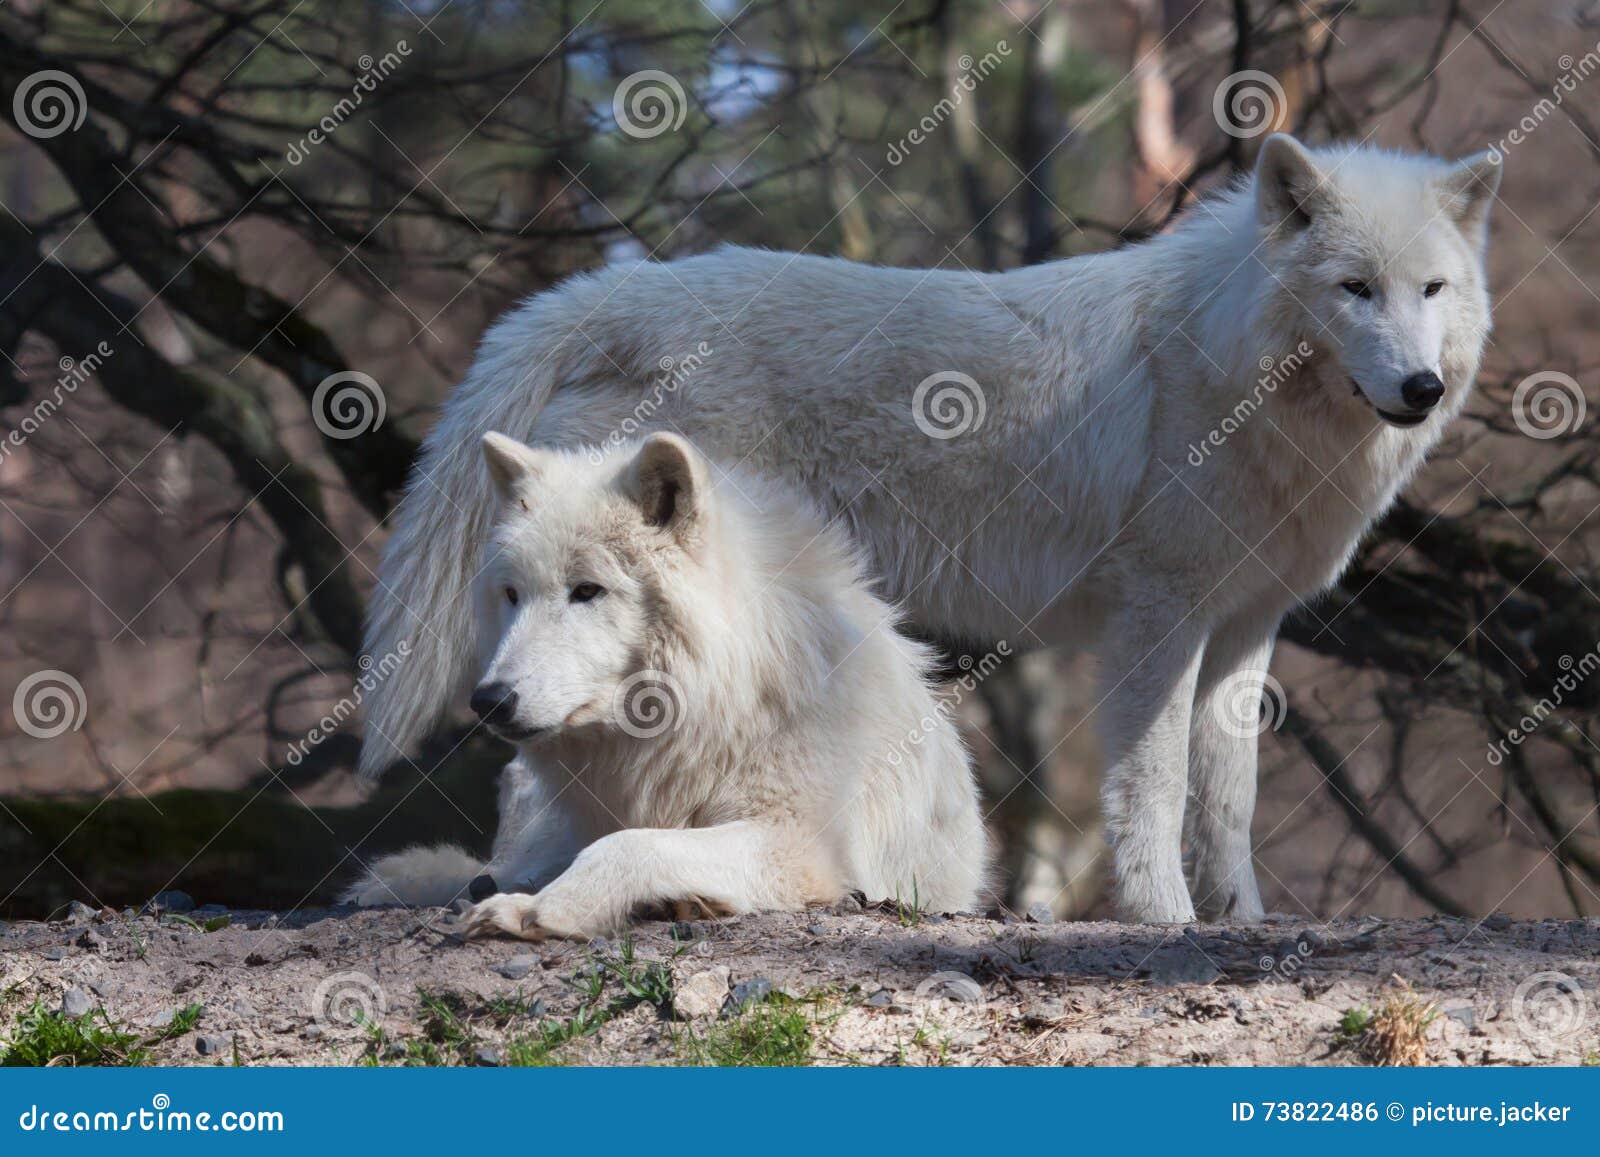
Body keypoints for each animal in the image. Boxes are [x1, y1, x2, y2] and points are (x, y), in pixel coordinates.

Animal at [343, 431, 990, 937]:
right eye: (512, 595)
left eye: (587, 590)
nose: (489, 701)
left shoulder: (799, 845)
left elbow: (633, 842)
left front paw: (544, 909)